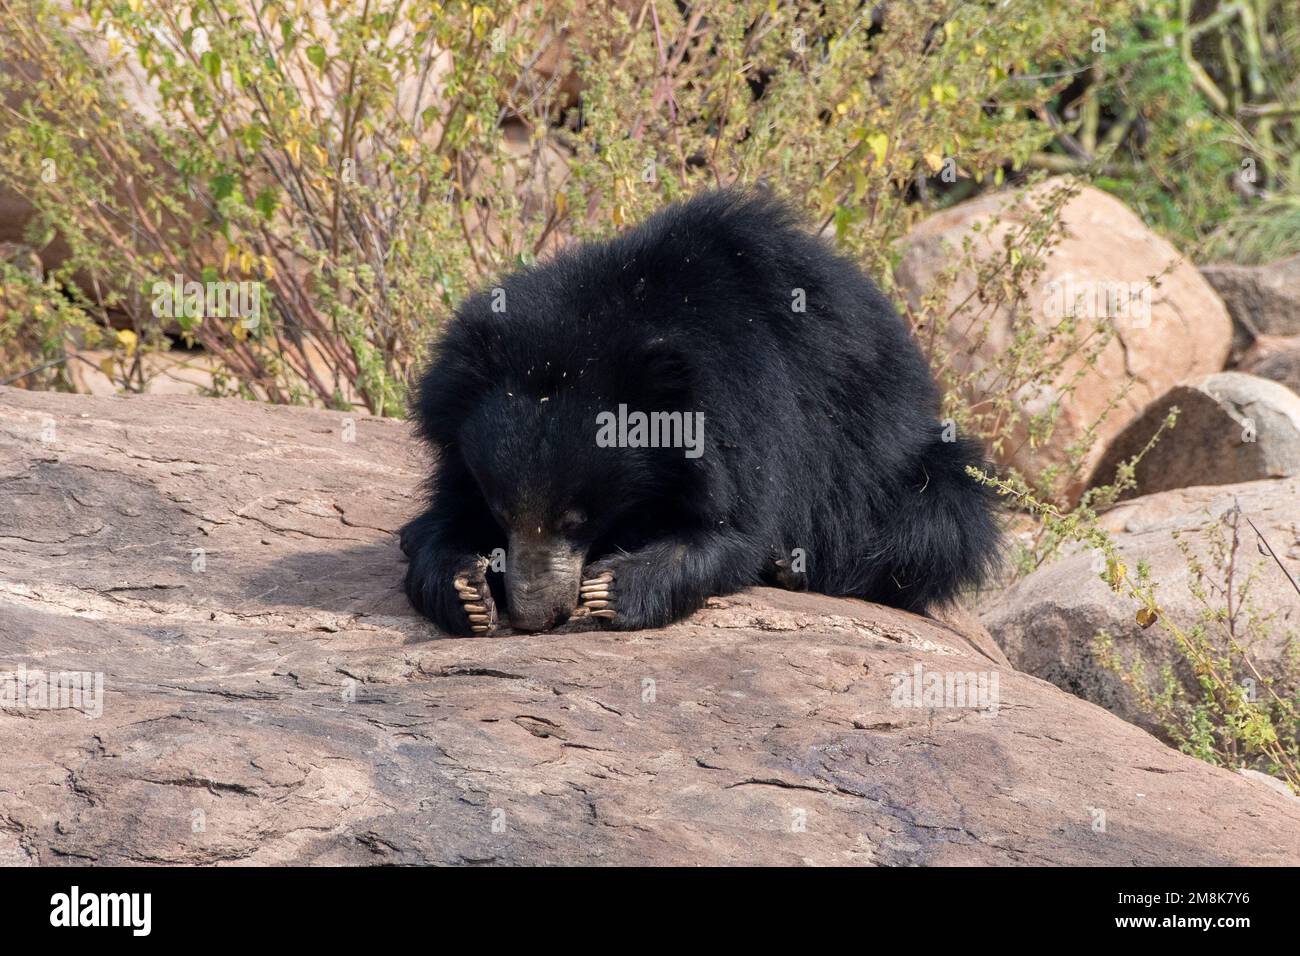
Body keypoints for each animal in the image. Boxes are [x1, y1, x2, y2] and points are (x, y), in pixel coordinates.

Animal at [400, 188, 1001, 635]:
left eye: (578, 519)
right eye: (501, 510)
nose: (535, 615)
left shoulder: (752, 405)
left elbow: (736, 528)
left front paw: (613, 588)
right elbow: (440, 517)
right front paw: (466, 589)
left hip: (894, 463)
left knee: (941, 519)